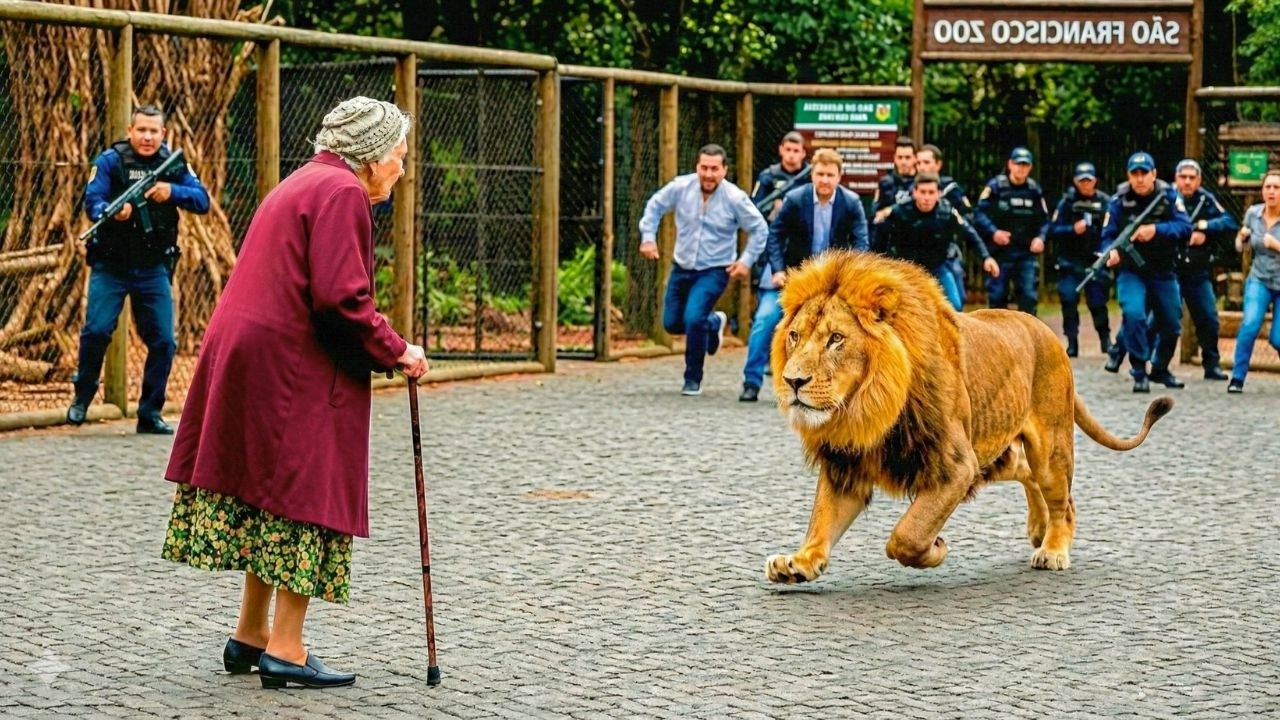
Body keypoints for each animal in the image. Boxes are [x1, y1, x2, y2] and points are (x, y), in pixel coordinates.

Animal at [764, 250, 1173, 582]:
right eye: (795, 336)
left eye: (836, 339)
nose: (792, 381)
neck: (868, 409)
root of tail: (1048, 333)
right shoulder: (847, 463)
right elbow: (822, 520)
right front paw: (799, 563)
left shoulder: (956, 466)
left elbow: (907, 534)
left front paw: (935, 548)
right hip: (995, 452)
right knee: (1024, 471)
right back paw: (1038, 526)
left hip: (1049, 450)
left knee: (1064, 502)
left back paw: (1053, 548)